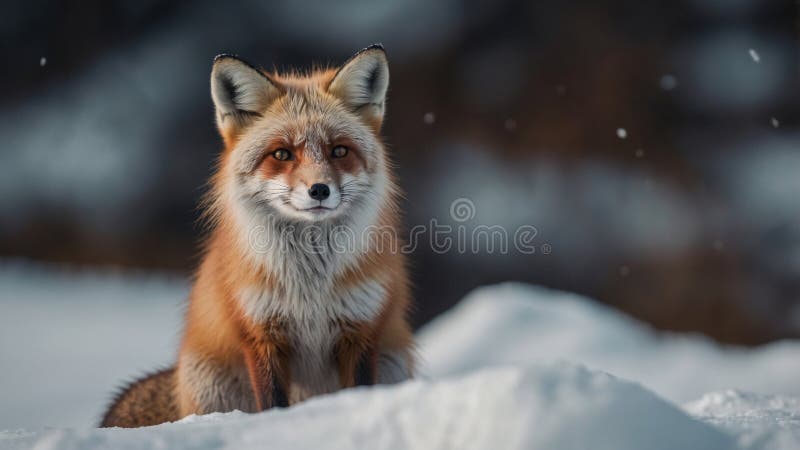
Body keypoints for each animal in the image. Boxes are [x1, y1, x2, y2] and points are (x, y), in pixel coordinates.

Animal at [100, 44, 415, 428]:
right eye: (281, 153)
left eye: (339, 150)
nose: (319, 190)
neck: (310, 287)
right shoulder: (260, 334)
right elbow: (273, 401)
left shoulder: (360, 330)